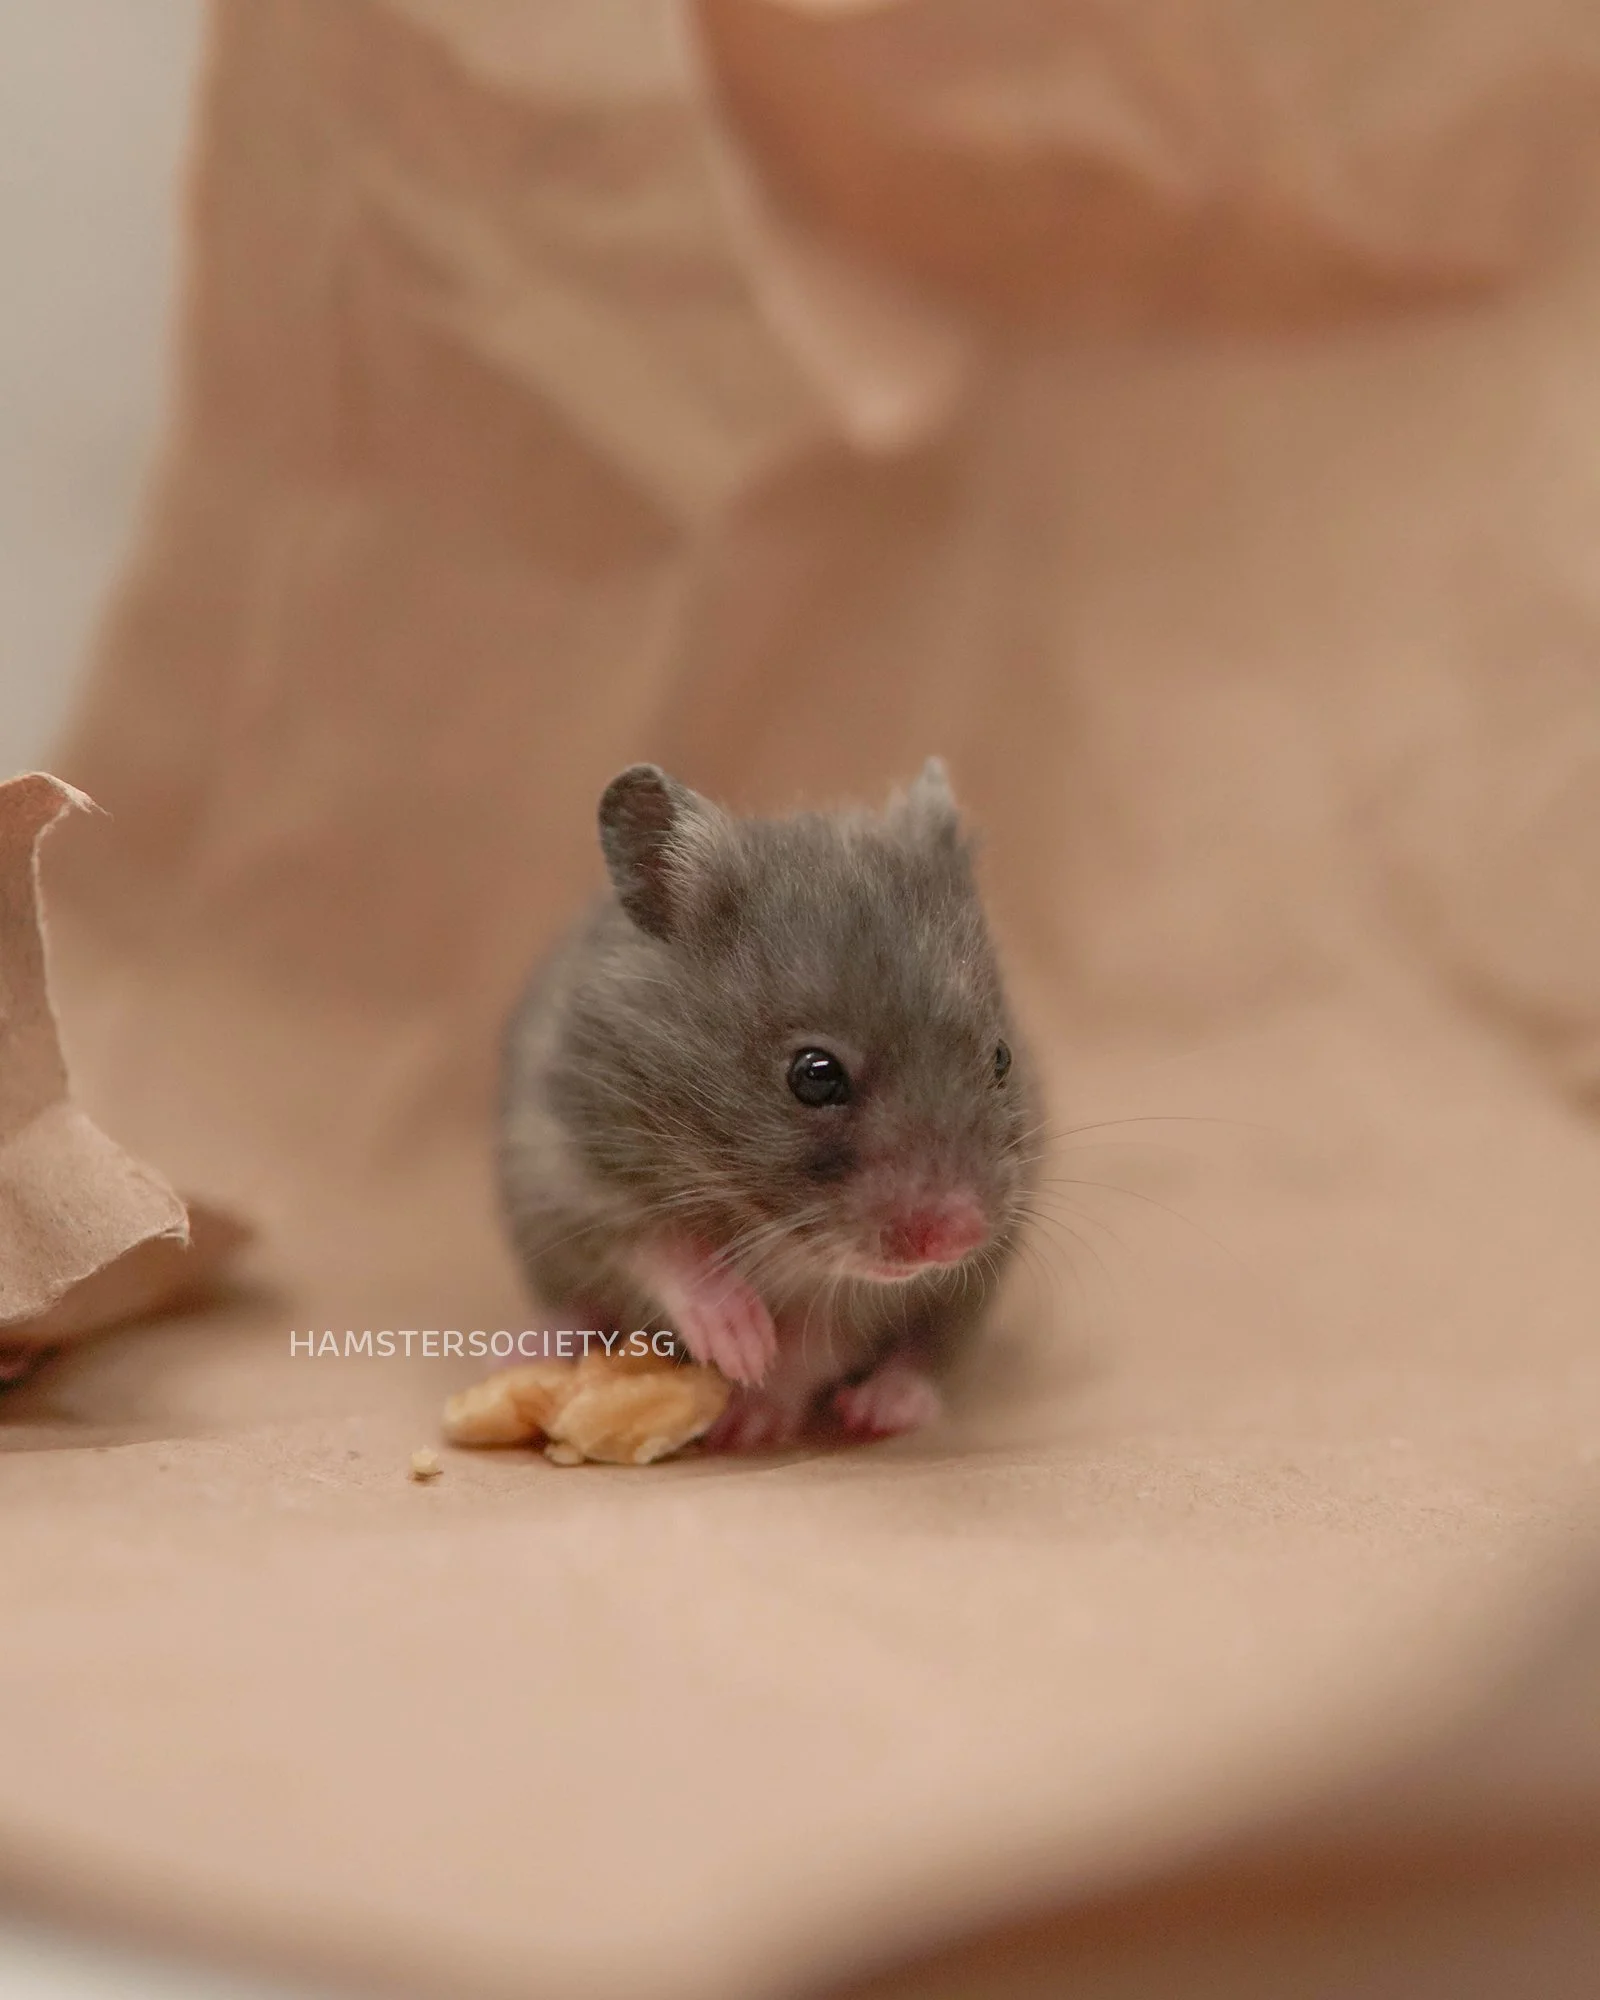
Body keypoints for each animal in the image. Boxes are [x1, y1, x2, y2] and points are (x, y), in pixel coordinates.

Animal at [496, 759, 1040, 1452]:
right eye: (814, 1075)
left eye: (1000, 1058)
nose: (958, 1237)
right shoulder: (575, 1168)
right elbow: (660, 1247)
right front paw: (741, 1345)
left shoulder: (876, 1298)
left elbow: (821, 1341)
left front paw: (748, 1411)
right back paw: (530, 1349)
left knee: (928, 1352)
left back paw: (884, 1406)